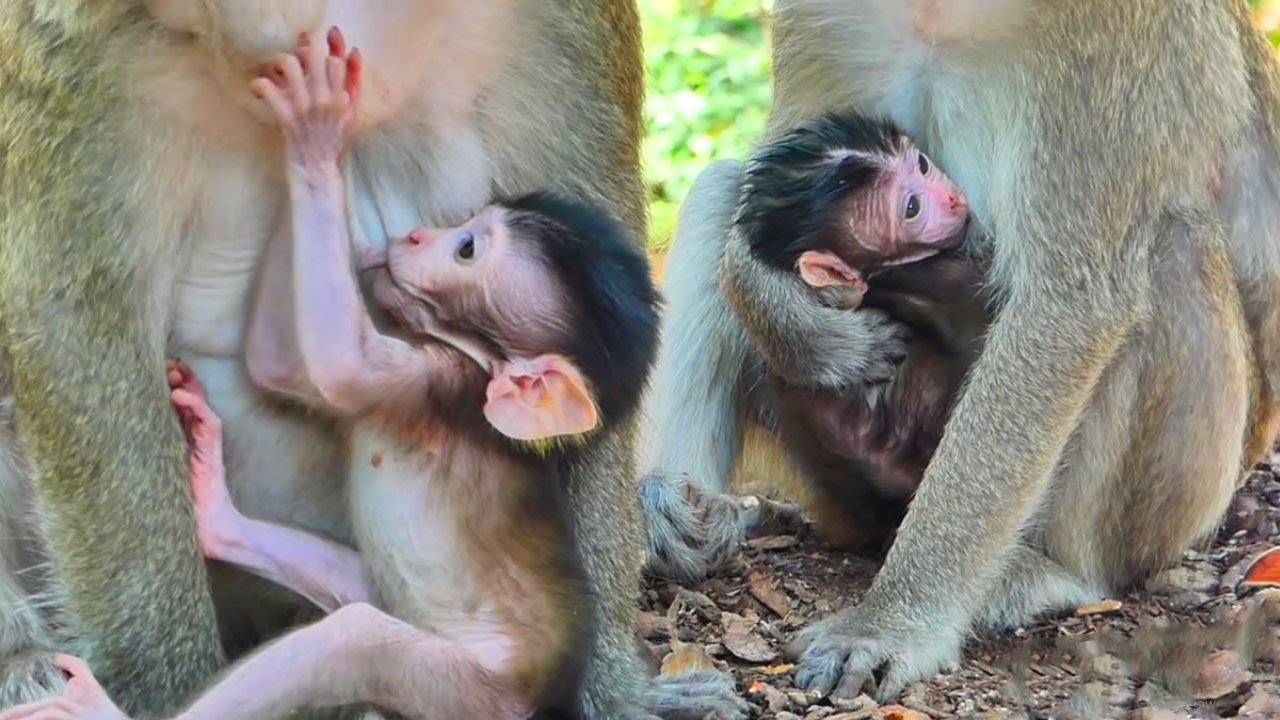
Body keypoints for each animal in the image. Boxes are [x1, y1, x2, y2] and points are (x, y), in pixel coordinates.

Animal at [0, 5, 743, 718]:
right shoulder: (69, 46)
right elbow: (78, 328)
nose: (414, 240)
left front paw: (616, 693)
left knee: (353, 640)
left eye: (468, 248)